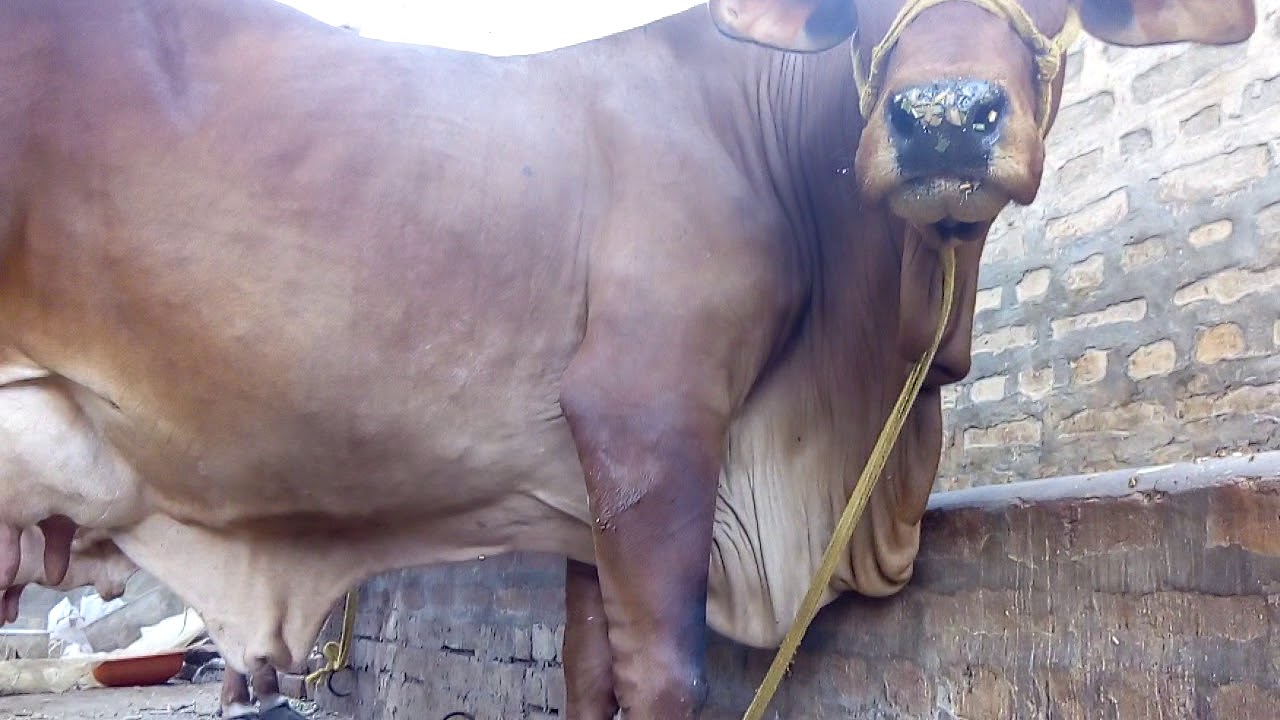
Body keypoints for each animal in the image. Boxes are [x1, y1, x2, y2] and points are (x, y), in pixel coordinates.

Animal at [0, 0, 1256, 717]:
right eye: (855, 10)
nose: (942, 116)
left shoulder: (575, 498)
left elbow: (585, 668)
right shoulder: (645, 417)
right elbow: (663, 672)